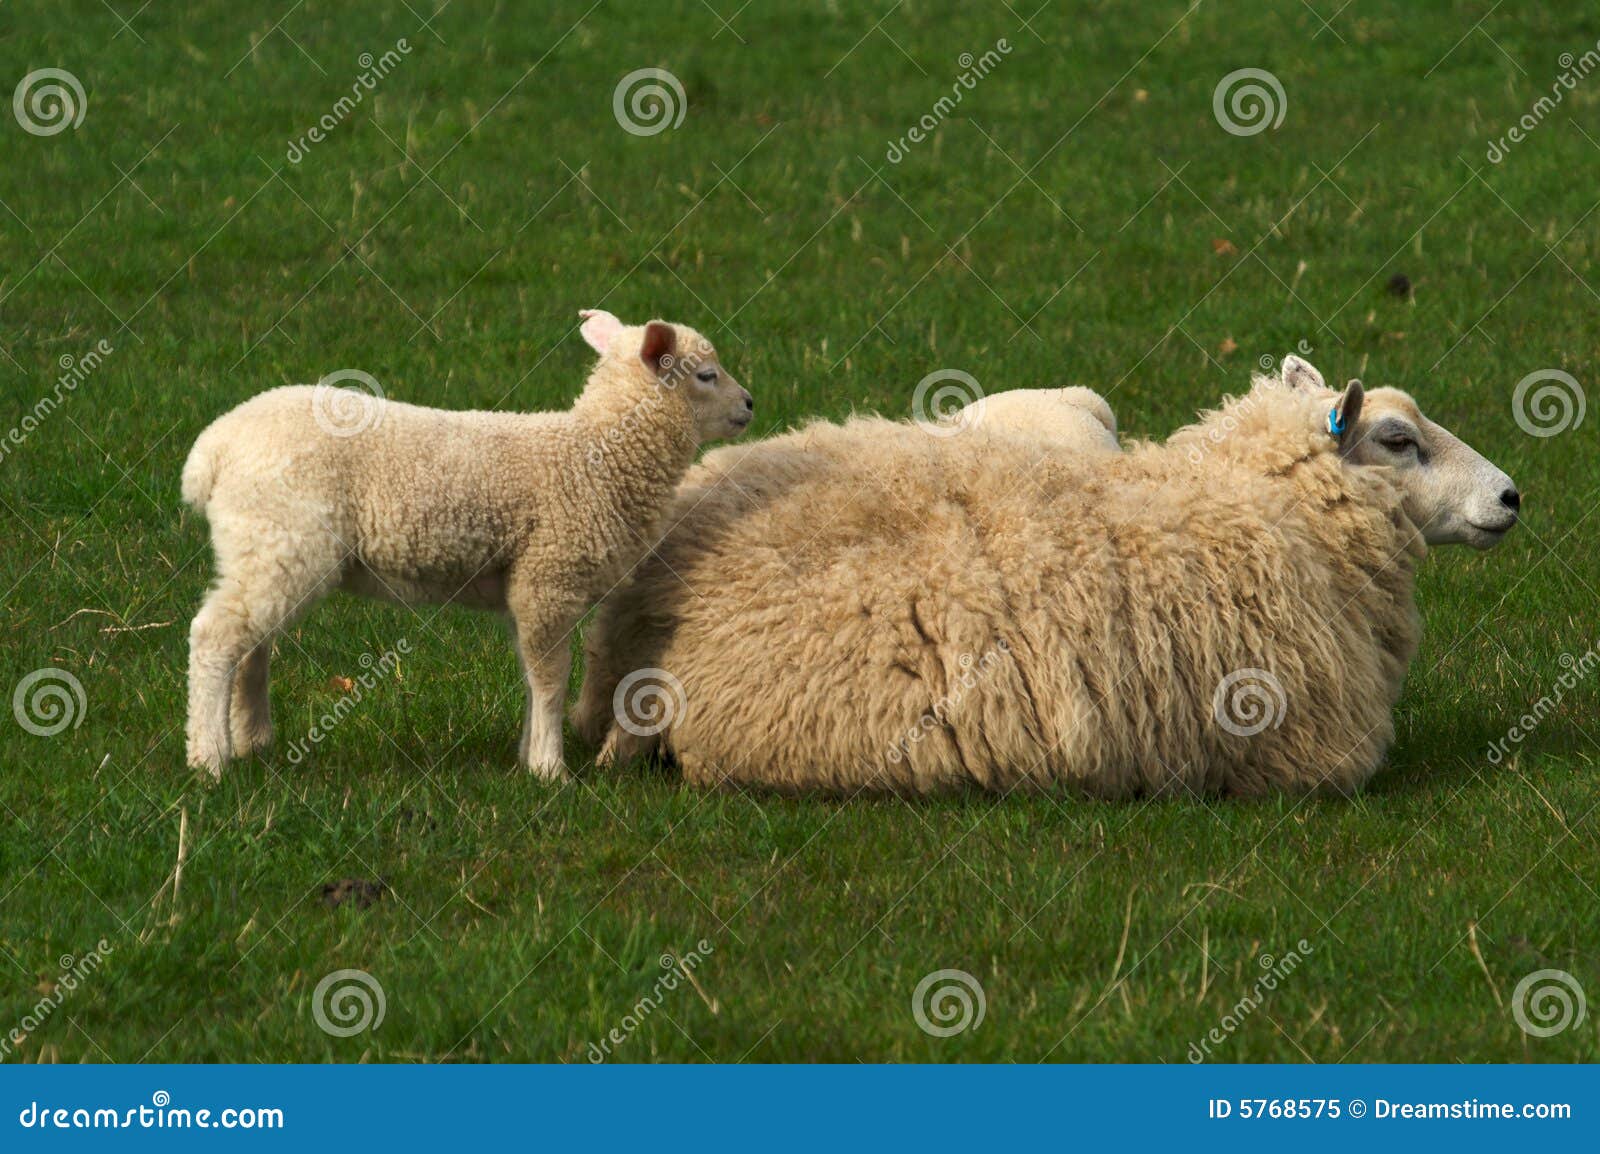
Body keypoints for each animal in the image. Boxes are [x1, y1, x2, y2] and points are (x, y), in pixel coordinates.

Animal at [182, 309, 753, 780]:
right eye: (706, 375)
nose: (750, 404)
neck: (596, 453)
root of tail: (214, 448)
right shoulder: (549, 577)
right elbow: (551, 677)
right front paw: (551, 770)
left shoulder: (526, 586)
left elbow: (531, 674)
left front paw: (528, 757)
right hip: (282, 536)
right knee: (215, 637)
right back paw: (209, 758)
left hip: (262, 547)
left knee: (252, 643)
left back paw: (251, 740)